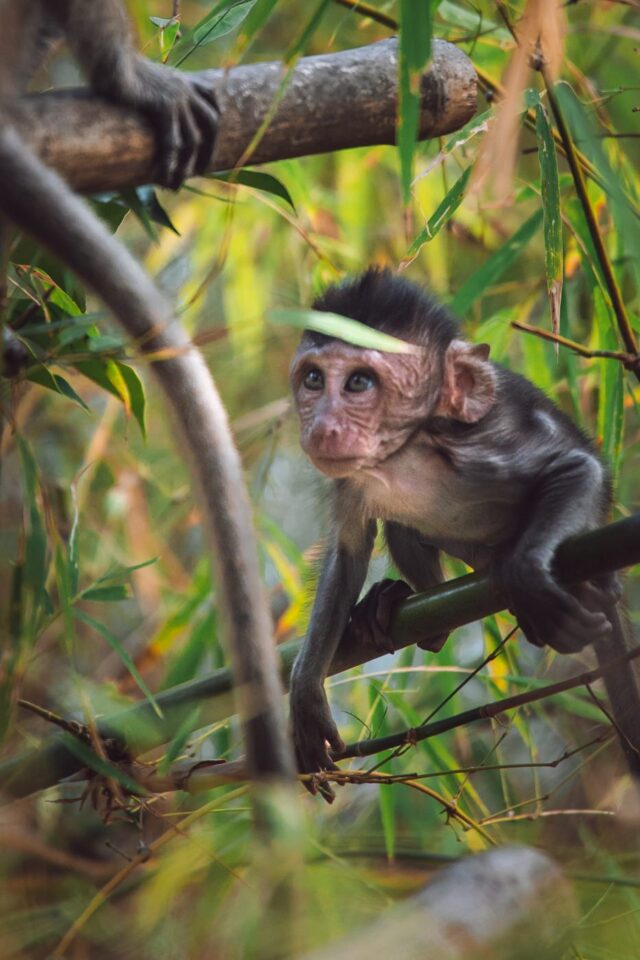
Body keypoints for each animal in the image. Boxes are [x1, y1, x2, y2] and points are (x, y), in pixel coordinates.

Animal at [289, 267, 639, 798]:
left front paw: (527, 573)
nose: (323, 427)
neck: (406, 453)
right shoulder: (353, 476)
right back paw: (407, 612)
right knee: (402, 529)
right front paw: (306, 689)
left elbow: (578, 468)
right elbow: (347, 553)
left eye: (359, 382)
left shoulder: (482, 446)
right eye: (313, 379)